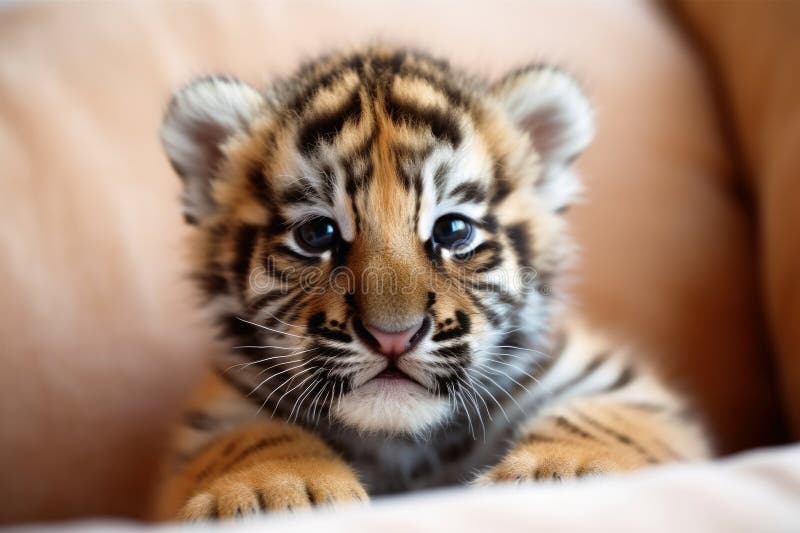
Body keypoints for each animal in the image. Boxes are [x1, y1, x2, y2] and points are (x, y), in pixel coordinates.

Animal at [153, 47, 710, 520]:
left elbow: (598, 421)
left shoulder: (622, 387)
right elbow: (250, 438)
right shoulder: (216, 411)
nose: (393, 336)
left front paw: (558, 475)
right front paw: (274, 492)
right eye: (317, 234)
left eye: (452, 230)